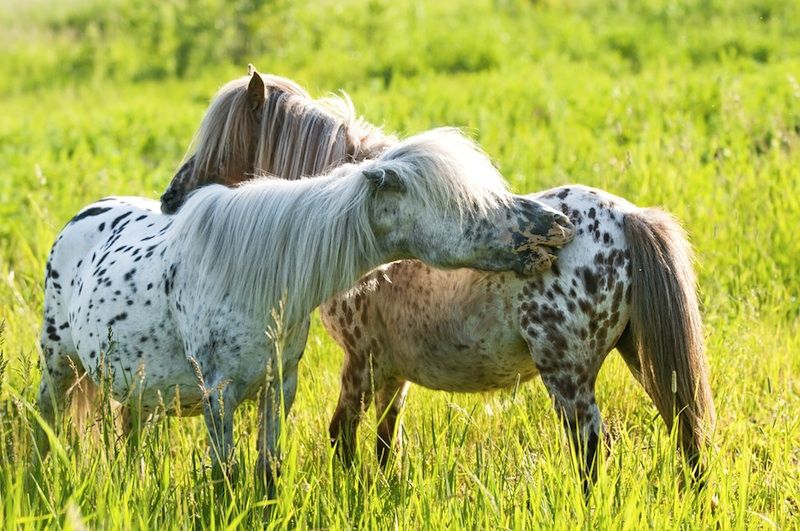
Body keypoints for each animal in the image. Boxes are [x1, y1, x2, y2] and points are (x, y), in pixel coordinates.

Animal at [38, 127, 574, 488]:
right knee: (47, 429)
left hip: (136, 393)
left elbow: (268, 469)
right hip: (58, 368)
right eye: (470, 203)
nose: (557, 224)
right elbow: (226, 475)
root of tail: (81, 218)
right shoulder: (219, 396)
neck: (255, 279)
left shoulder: (280, 386)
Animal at [159, 69, 715, 486]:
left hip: (569, 379)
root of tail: (627, 217)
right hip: (642, 358)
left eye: (220, 144)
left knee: (594, 452)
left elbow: (344, 437)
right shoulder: (392, 371)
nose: (171, 198)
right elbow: (386, 443)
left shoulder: (359, 361)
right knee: (687, 436)